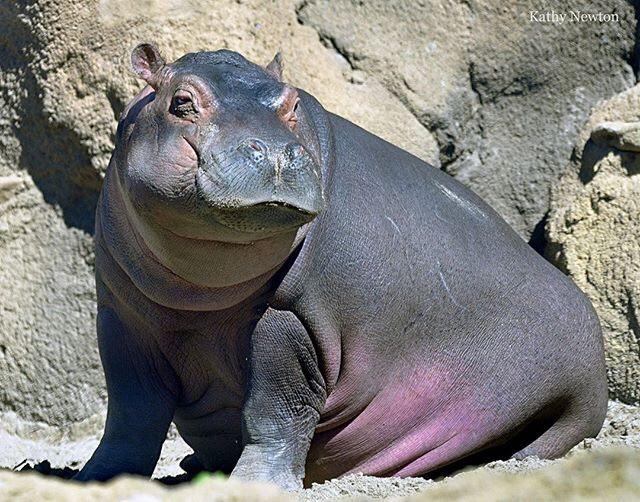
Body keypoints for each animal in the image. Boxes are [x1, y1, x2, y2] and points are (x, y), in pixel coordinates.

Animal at [75, 43, 608, 490]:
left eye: (292, 104)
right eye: (181, 101)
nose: (275, 151)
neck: (196, 292)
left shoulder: (292, 320)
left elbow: (276, 410)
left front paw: (257, 486)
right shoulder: (122, 317)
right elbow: (130, 414)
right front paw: (94, 479)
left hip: (570, 408)